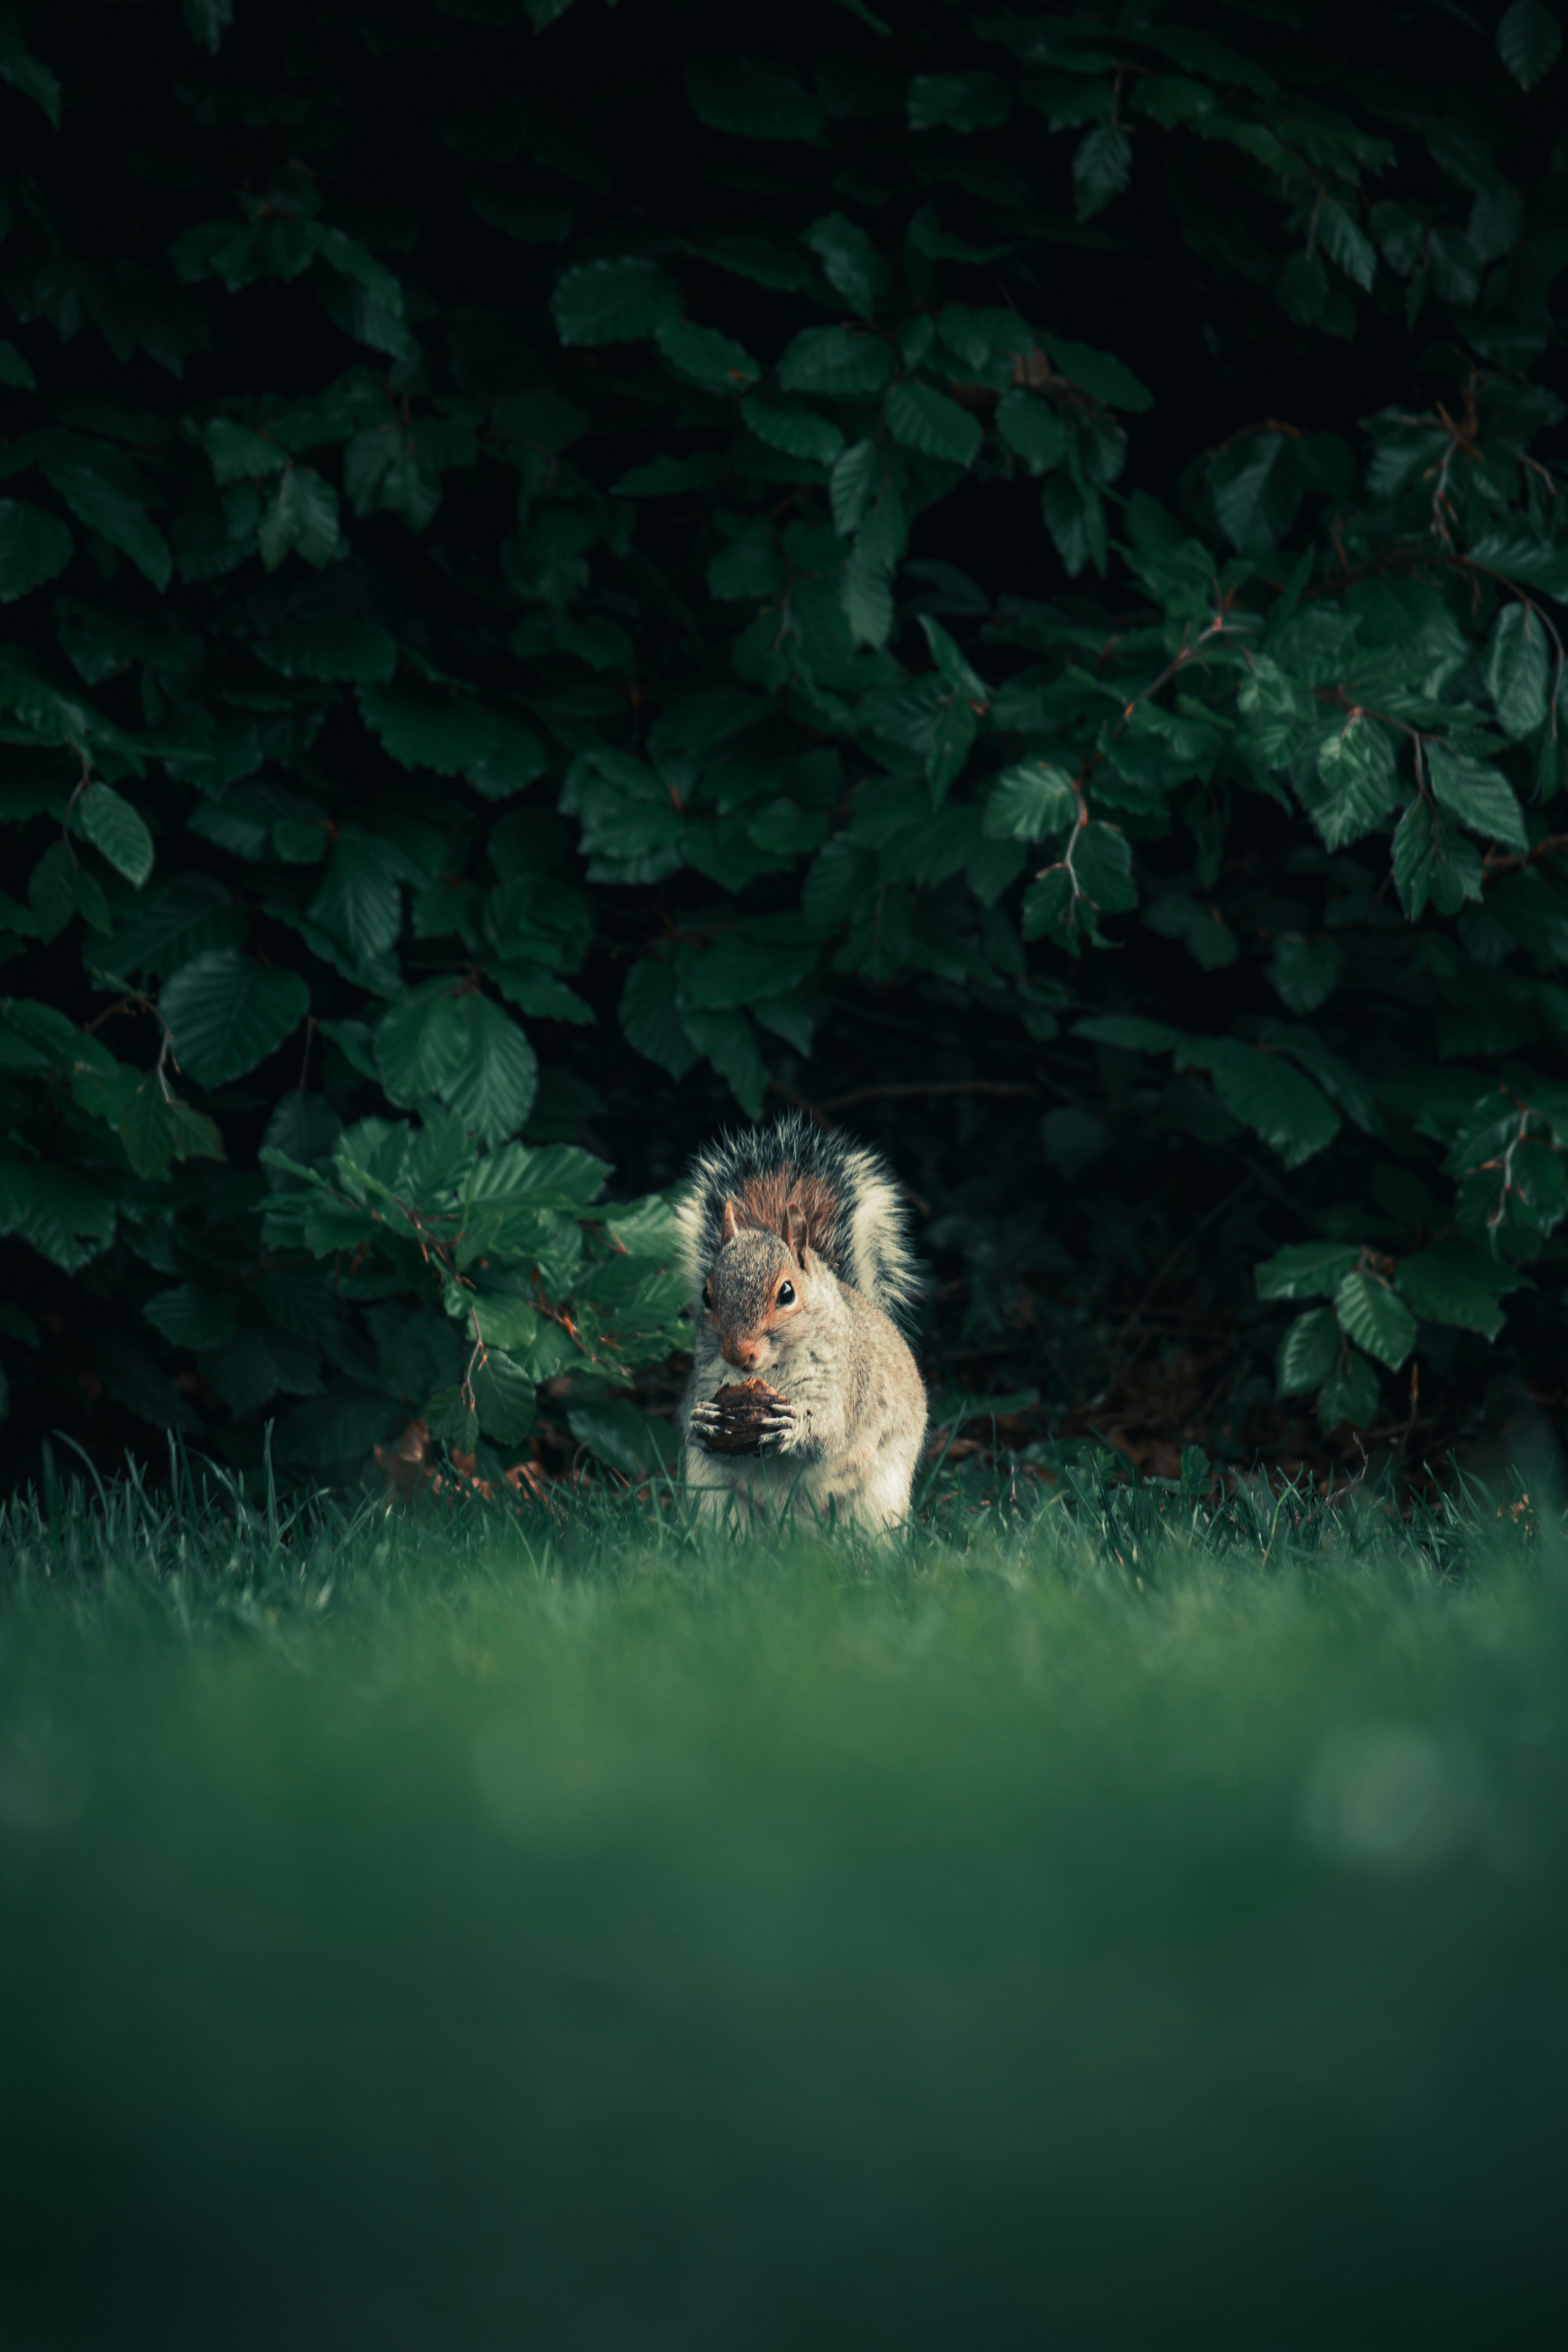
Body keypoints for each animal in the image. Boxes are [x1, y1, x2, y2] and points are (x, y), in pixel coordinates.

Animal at [674, 1111, 927, 1531]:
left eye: (787, 1293)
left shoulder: (843, 1377)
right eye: (707, 1296)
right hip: (714, 1499)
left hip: (878, 1497)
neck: (772, 1368)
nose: (738, 1354)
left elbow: (831, 1429)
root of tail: (795, 1530)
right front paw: (703, 1419)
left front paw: (795, 1426)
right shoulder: (709, 1375)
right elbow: (702, 1430)